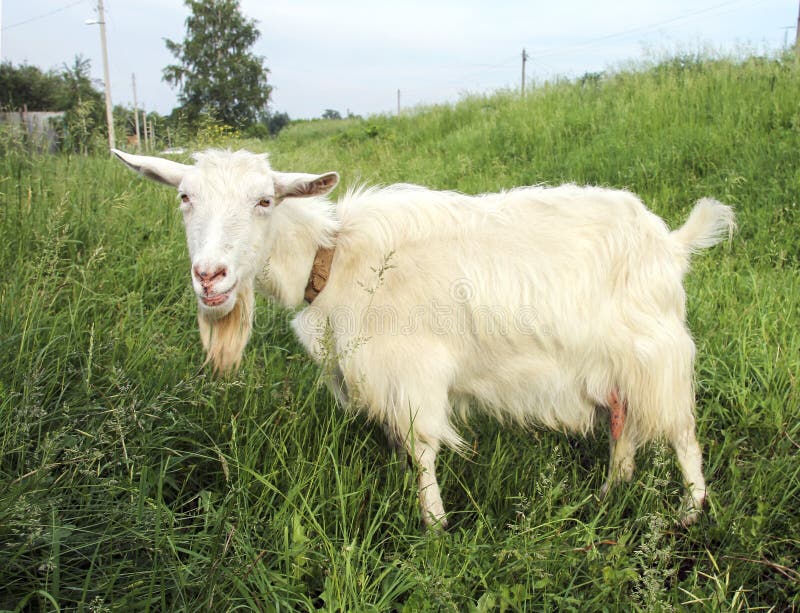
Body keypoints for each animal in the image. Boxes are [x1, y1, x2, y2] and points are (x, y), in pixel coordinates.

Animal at [112, 148, 735, 528]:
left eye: (264, 201)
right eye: (184, 198)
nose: (210, 276)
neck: (333, 261)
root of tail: (670, 241)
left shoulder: (413, 373)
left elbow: (422, 450)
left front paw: (433, 525)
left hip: (659, 352)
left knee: (682, 433)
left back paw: (689, 511)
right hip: (615, 365)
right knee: (623, 423)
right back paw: (610, 494)